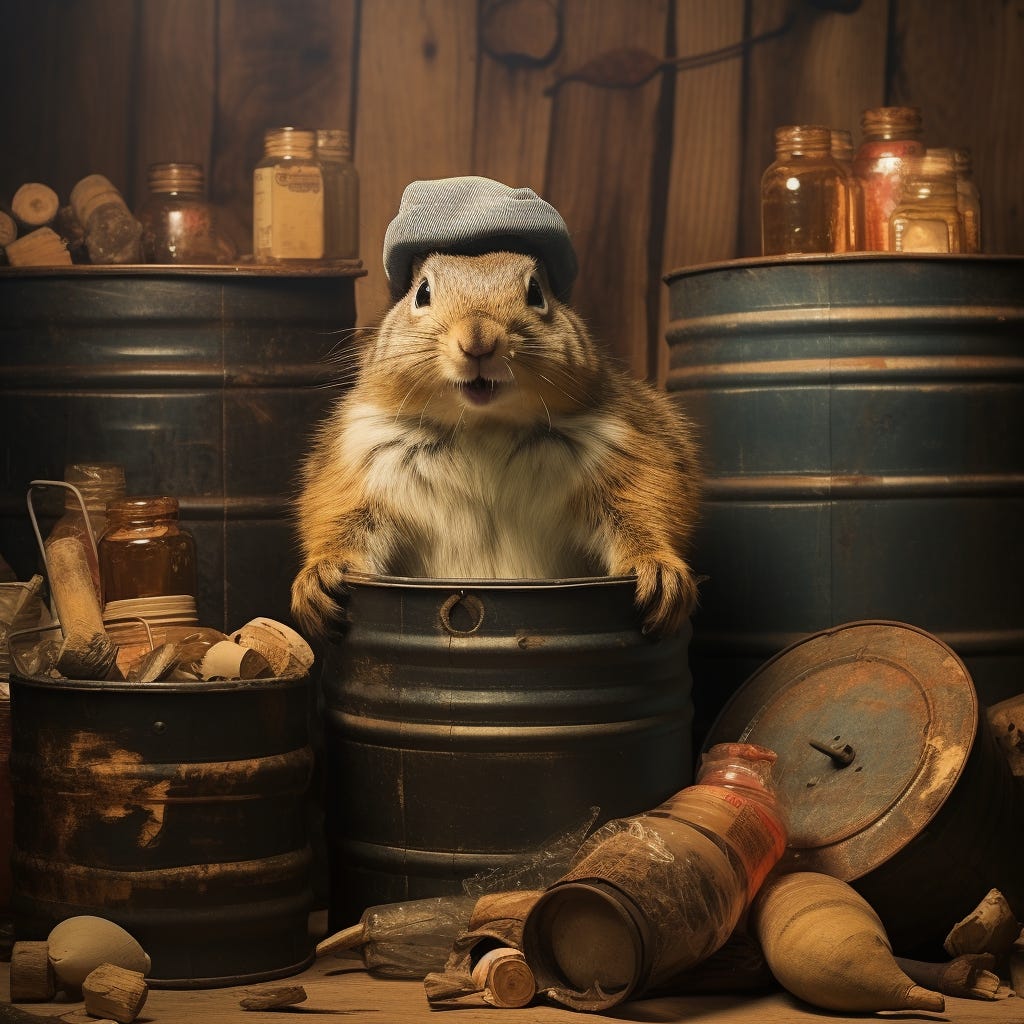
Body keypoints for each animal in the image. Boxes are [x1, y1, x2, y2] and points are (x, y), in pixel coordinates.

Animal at [290, 247, 702, 639]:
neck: (483, 426)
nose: (479, 340)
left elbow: (645, 508)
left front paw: (657, 569)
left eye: (536, 291)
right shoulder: (356, 464)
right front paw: (321, 575)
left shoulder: (631, 451)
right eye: (422, 292)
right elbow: (338, 516)